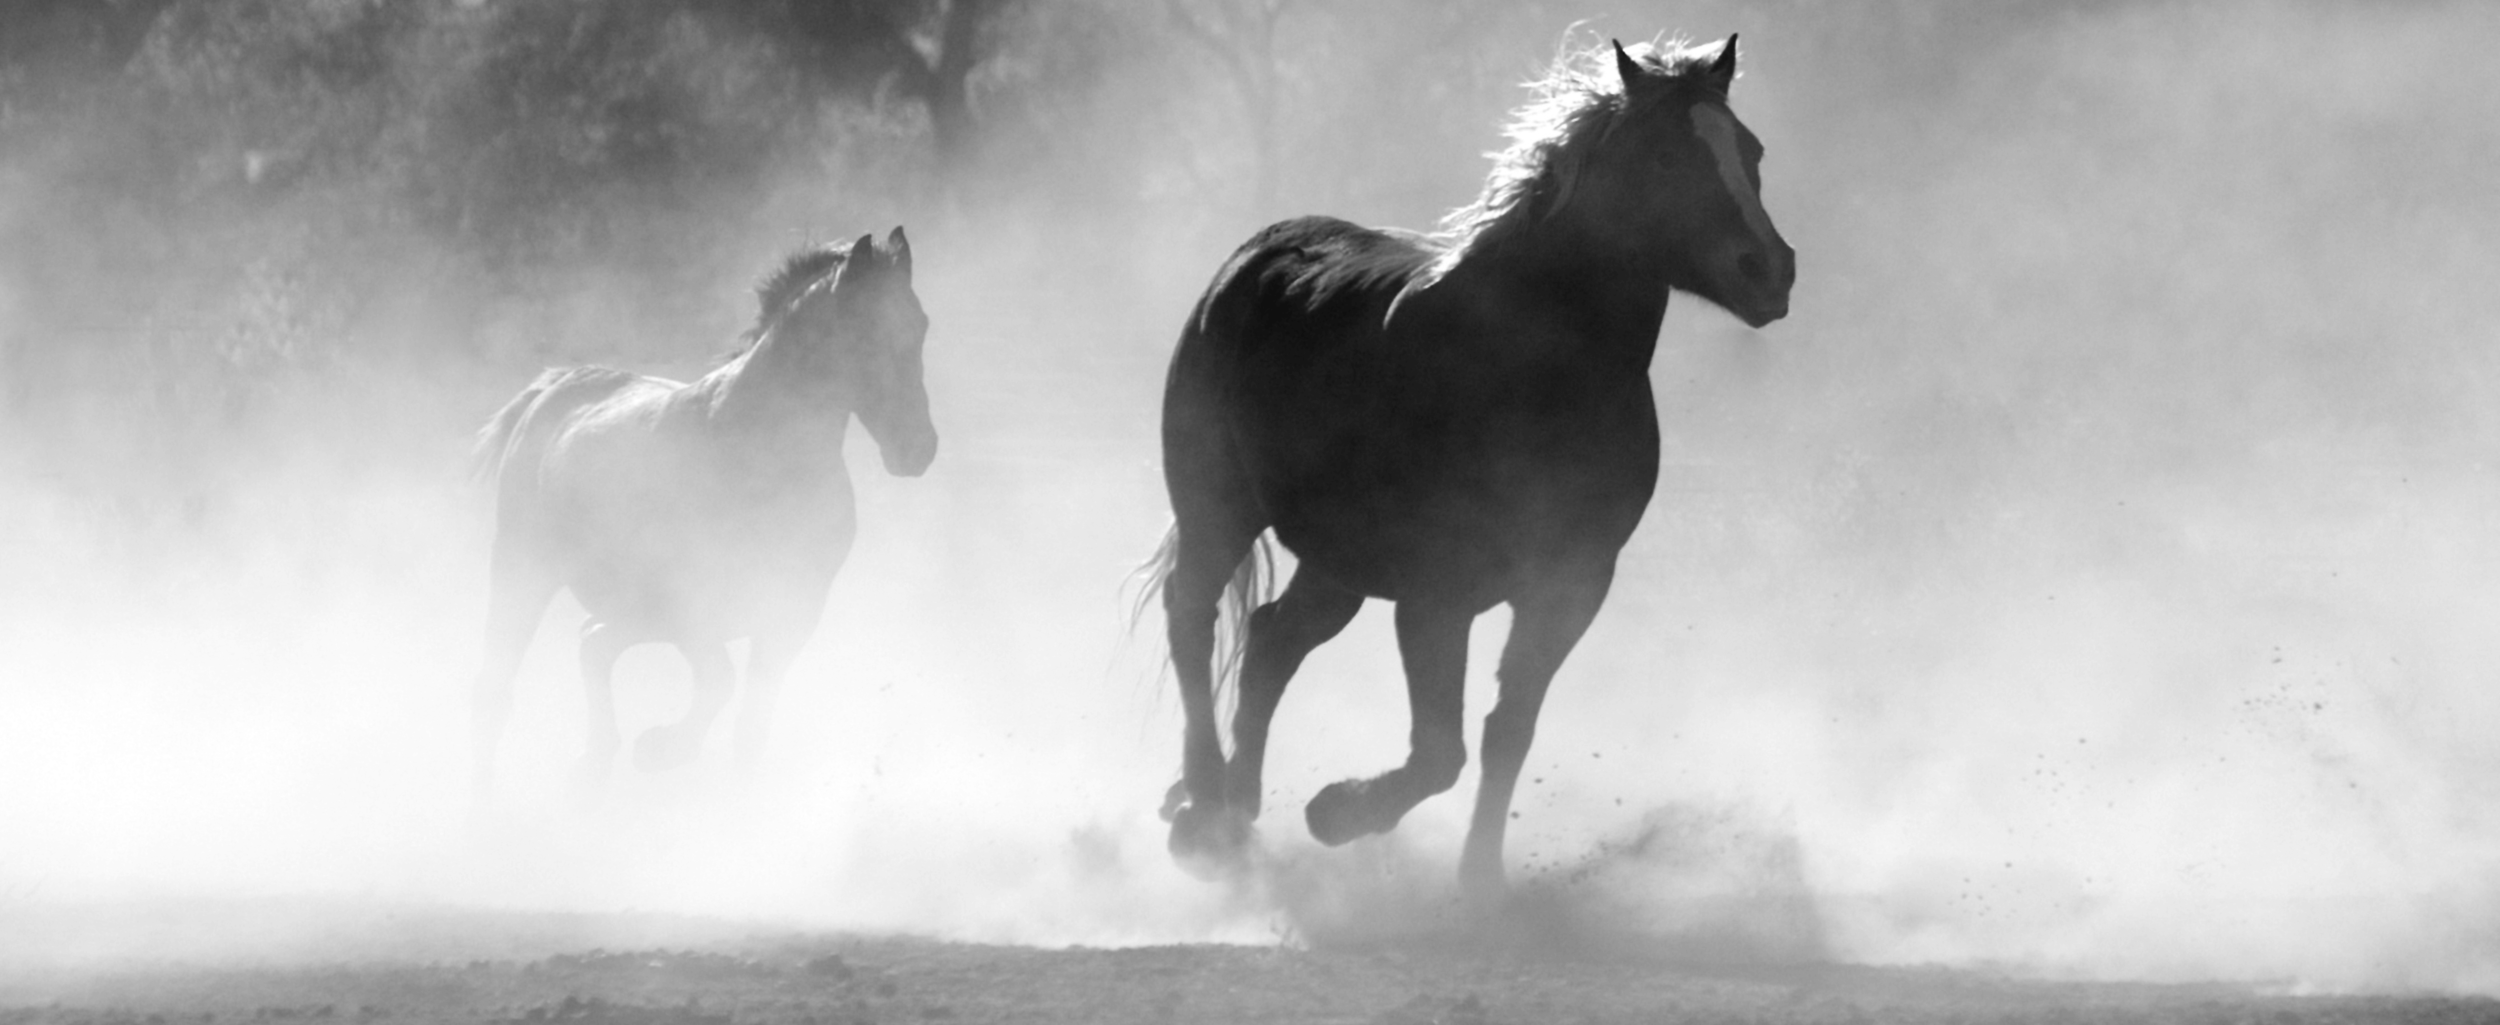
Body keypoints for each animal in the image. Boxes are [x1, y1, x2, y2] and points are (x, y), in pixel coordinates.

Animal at [469, 229, 935, 801]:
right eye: (865, 330)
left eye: (920, 324)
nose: (918, 449)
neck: (759, 453)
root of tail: (552, 389)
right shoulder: (692, 605)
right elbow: (719, 682)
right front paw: (661, 749)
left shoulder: (791, 615)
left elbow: (750, 728)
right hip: (524, 568)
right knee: (499, 683)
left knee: (592, 642)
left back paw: (594, 763)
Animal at [1147, 35, 1794, 895]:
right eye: (1664, 155)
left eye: (1749, 151)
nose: (1771, 270)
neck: (1530, 373)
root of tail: (1252, 259)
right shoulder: (1436, 594)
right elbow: (1439, 751)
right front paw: (1338, 811)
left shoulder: (1571, 585)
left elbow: (1505, 731)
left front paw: (1479, 879)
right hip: (1217, 509)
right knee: (1193, 619)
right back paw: (1206, 809)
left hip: (1337, 561)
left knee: (1270, 638)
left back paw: (1238, 809)